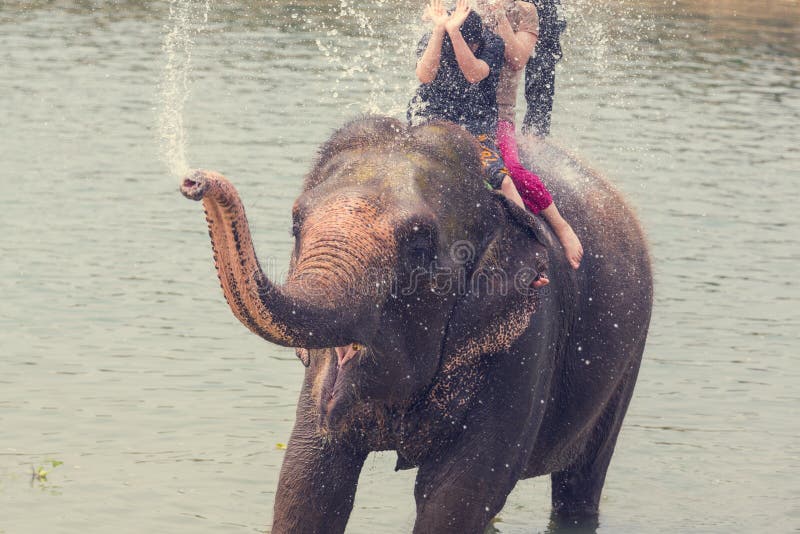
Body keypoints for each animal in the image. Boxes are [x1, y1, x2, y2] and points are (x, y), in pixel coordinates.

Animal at [180, 116, 652, 533]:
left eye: (420, 245)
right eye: (296, 224)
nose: (193, 181)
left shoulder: (530, 336)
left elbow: (458, 495)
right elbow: (308, 481)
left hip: (627, 360)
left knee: (581, 482)